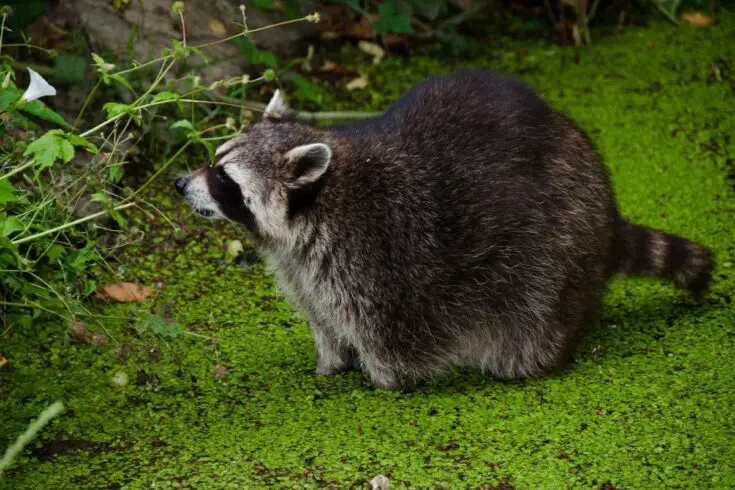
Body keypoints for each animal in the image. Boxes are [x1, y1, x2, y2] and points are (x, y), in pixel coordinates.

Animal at [175, 69, 714, 390]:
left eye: (225, 180)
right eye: (214, 160)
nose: (180, 183)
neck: (314, 211)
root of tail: (605, 209)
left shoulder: (373, 262)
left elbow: (388, 339)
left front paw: (382, 380)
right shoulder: (304, 271)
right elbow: (323, 320)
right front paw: (330, 363)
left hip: (558, 244)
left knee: (532, 320)